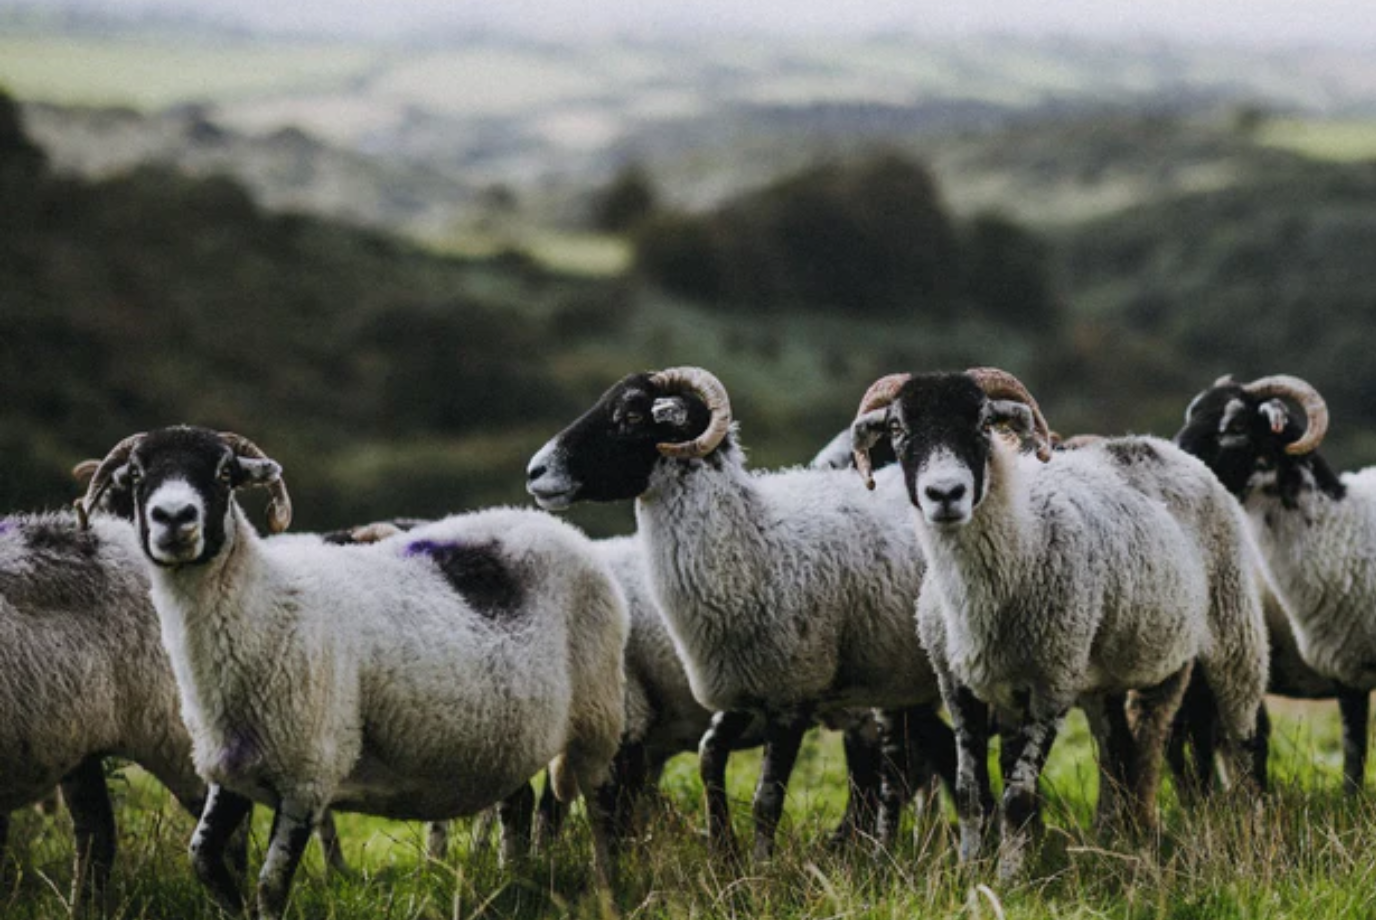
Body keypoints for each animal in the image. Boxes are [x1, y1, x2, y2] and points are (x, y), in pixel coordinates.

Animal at [76, 426, 628, 919]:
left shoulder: (307, 776)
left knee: (602, 809)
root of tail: (551, 525)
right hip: (510, 733)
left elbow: (271, 887)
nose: (174, 518)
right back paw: (511, 887)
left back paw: (606, 890)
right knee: (519, 805)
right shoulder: (230, 770)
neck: (267, 603)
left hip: (597, 715)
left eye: (225, 473)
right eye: (137, 474)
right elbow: (203, 860)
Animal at [526, 366, 956, 862]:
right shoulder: (739, 684)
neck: (756, 543)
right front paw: (723, 849)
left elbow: (767, 796)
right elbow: (710, 757)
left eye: (631, 415)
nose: (535, 471)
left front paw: (761, 864)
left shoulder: (792, 694)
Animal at [849, 367, 1268, 879]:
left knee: (1237, 741)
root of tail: (1158, 444)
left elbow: (1017, 798)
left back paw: (1249, 834)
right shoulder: (958, 682)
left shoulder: (1051, 684)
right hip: (1133, 665)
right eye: (897, 427)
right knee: (1128, 748)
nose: (945, 494)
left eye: (984, 424)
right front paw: (970, 872)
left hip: (1232, 630)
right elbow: (971, 794)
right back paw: (1120, 836)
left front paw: (1008, 880)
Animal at [1174, 373, 1374, 790]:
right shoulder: (1348, 664)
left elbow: (1354, 757)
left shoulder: (1352, 668)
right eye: (1193, 411)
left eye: (1237, 425)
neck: (1346, 526)